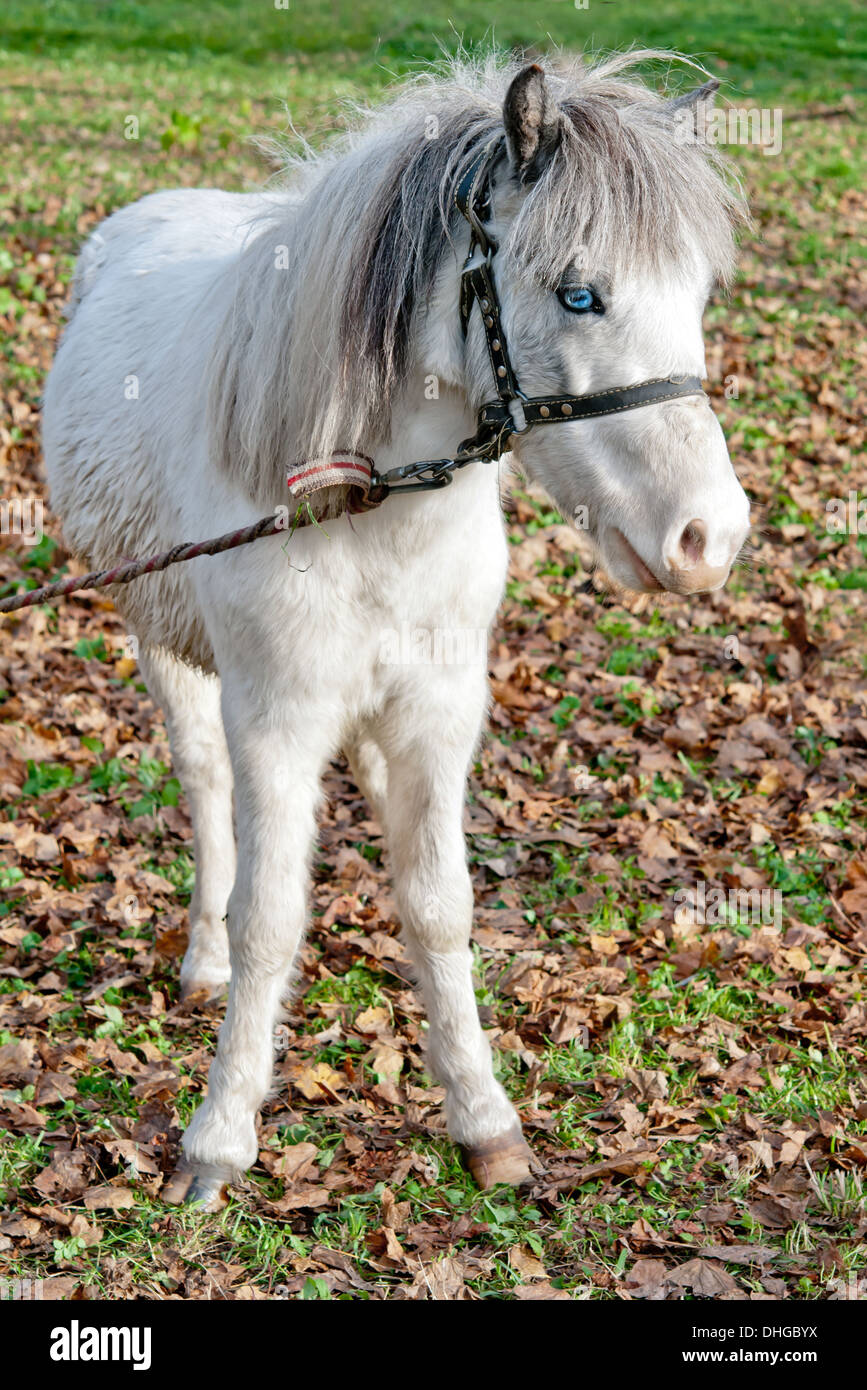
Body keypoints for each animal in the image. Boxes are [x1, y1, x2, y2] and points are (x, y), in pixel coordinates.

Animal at [42, 51, 751, 1205]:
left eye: (696, 296)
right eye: (580, 292)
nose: (710, 536)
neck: (364, 502)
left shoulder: (435, 713)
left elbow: (439, 904)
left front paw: (483, 1119)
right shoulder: (276, 721)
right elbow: (270, 918)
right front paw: (219, 1138)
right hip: (165, 647)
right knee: (205, 787)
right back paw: (204, 964)